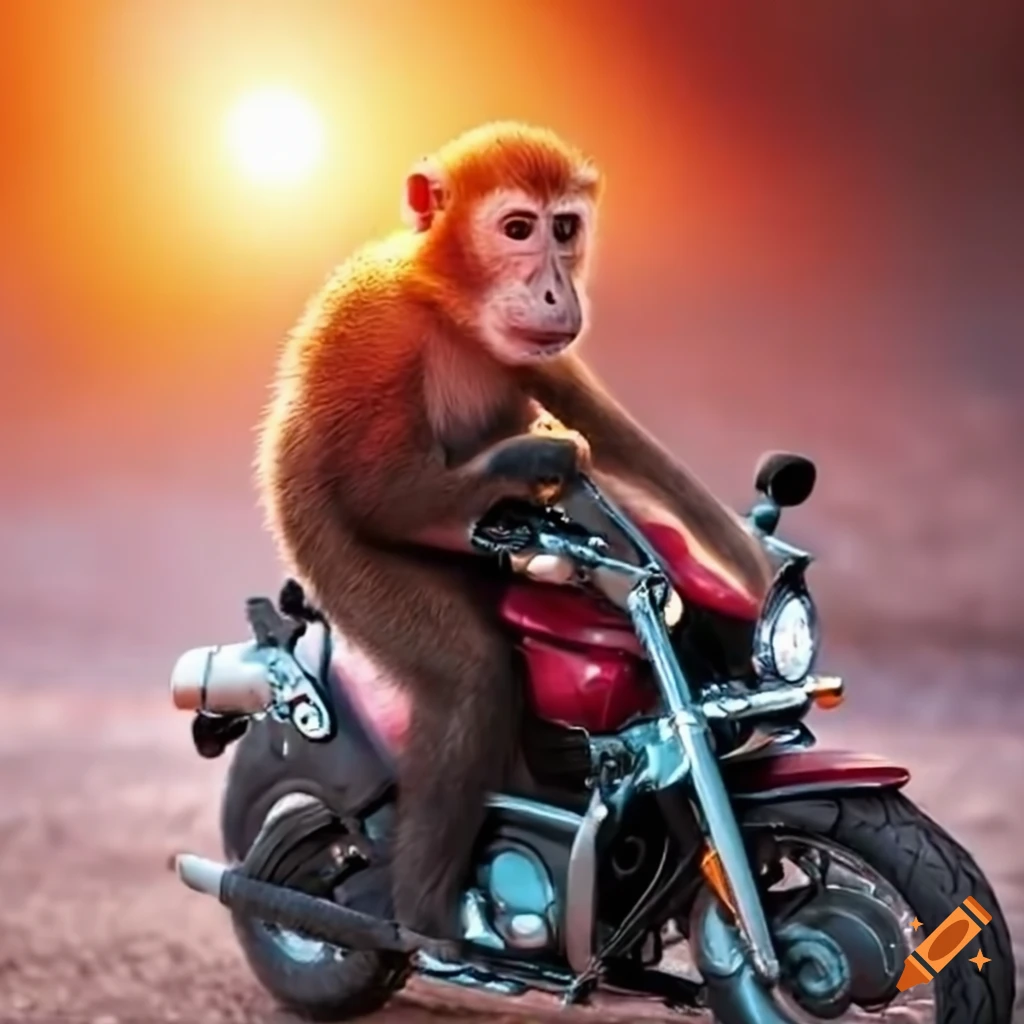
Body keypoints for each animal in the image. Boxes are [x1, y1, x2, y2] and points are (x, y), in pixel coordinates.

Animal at [257, 121, 773, 944]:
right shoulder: (379, 331)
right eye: (518, 229)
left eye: (564, 229)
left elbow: (604, 424)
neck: (446, 304)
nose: (555, 289)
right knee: (468, 673)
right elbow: (378, 497)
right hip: (342, 569)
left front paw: (744, 561)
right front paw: (542, 457)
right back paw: (424, 917)